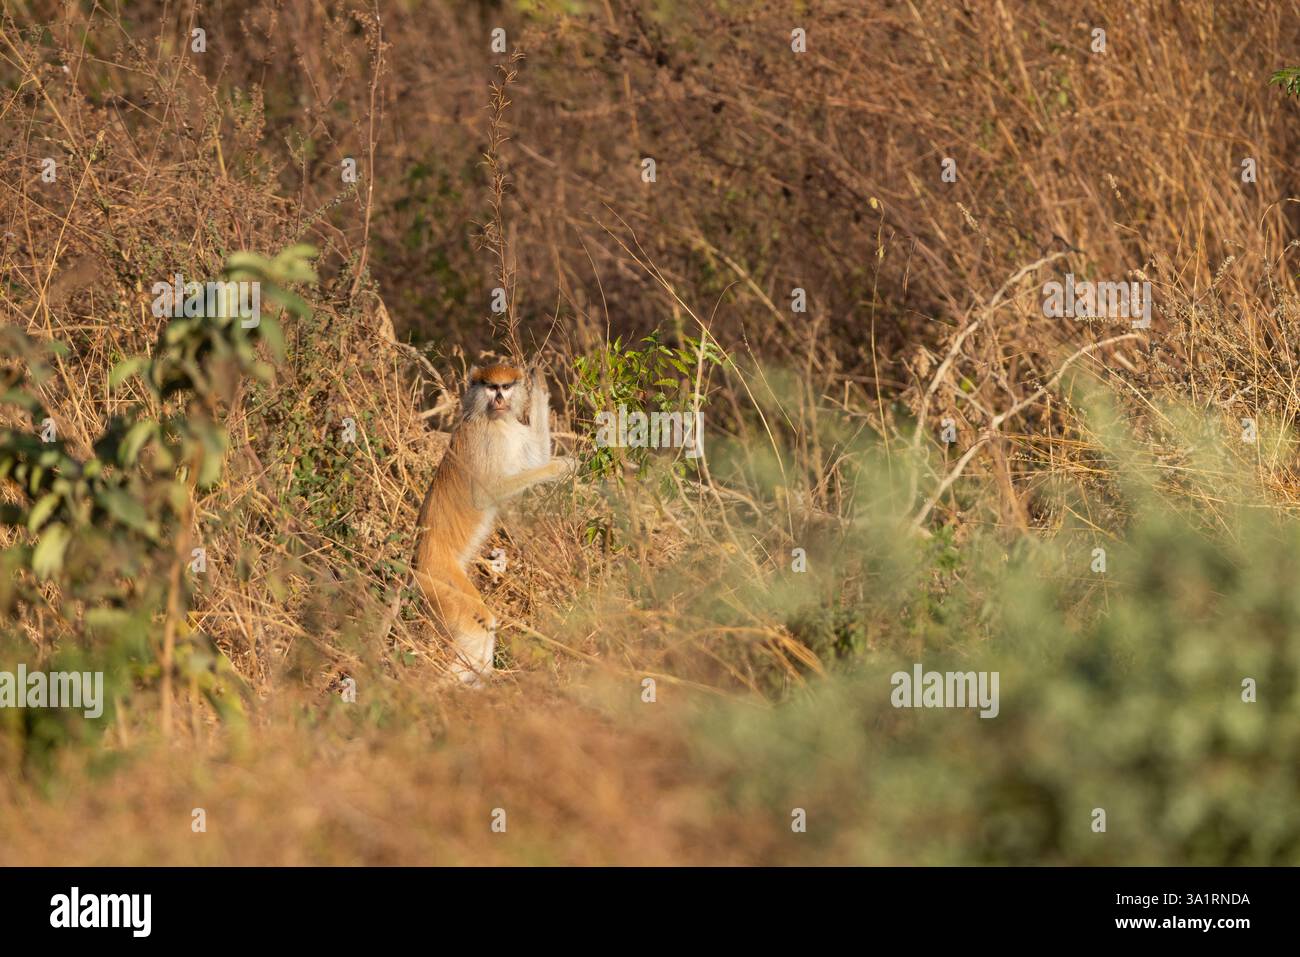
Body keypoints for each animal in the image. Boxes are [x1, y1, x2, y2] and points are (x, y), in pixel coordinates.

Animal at [413, 363, 574, 684]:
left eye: (506, 387)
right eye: (490, 387)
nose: (499, 399)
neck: (496, 420)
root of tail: (417, 558)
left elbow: (536, 454)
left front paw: (539, 383)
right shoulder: (484, 441)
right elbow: (488, 492)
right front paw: (560, 467)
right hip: (439, 580)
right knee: (479, 622)